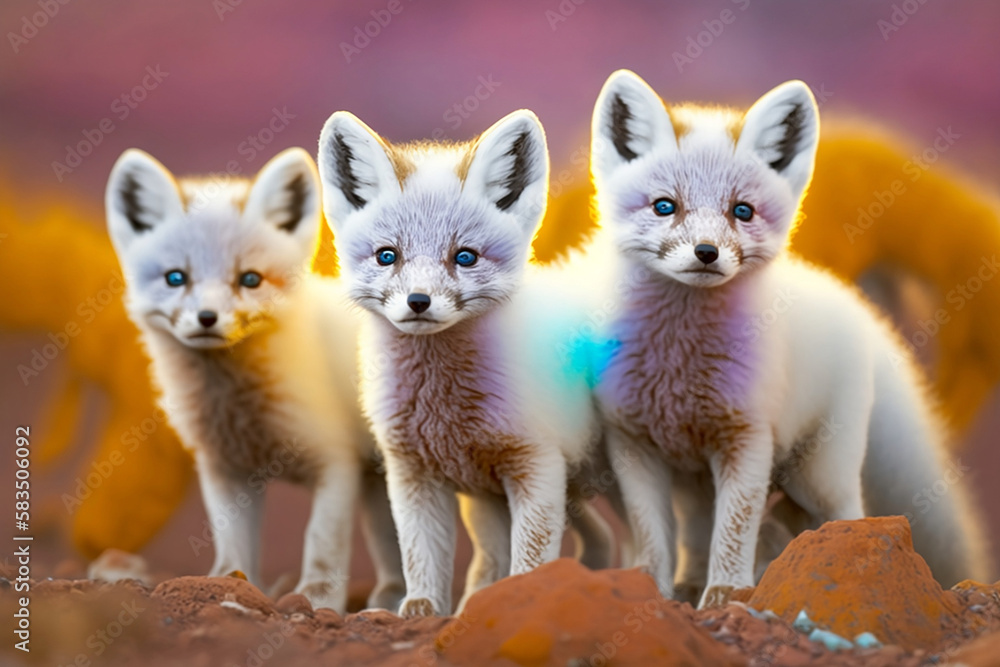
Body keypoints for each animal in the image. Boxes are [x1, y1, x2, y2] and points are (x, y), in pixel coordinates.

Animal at [104, 147, 405, 613]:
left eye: (250, 279)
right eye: (176, 278)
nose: (207, 318)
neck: (241, 413)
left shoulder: (335, 461)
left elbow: (322, 541)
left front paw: (316, 599)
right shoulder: (225, 469)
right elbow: (232, 545)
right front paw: (228, 586)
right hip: (379, 487)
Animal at [316, 109, 617, 617]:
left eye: (465, 257)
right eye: (387, 256)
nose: (418, 302)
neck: (445, 411)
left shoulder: (534, 464)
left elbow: (529, 558)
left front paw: (519, 601)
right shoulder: (414, 474)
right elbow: (421, 557)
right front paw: (423, 611)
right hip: (523, 496)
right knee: (607, 542)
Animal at [587, 70, 992, 609]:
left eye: (742, 211)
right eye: (664, 207)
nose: (706, 253)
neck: (679, 364)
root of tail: (851, 301)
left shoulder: (747, 441)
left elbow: (734, 531)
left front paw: (727, 594)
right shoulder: (636, 447)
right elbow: (654, 539)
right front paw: (653, 591)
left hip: (819, 474)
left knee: (843, 514)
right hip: (703, 478)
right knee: (710, 528)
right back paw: (695, 581)